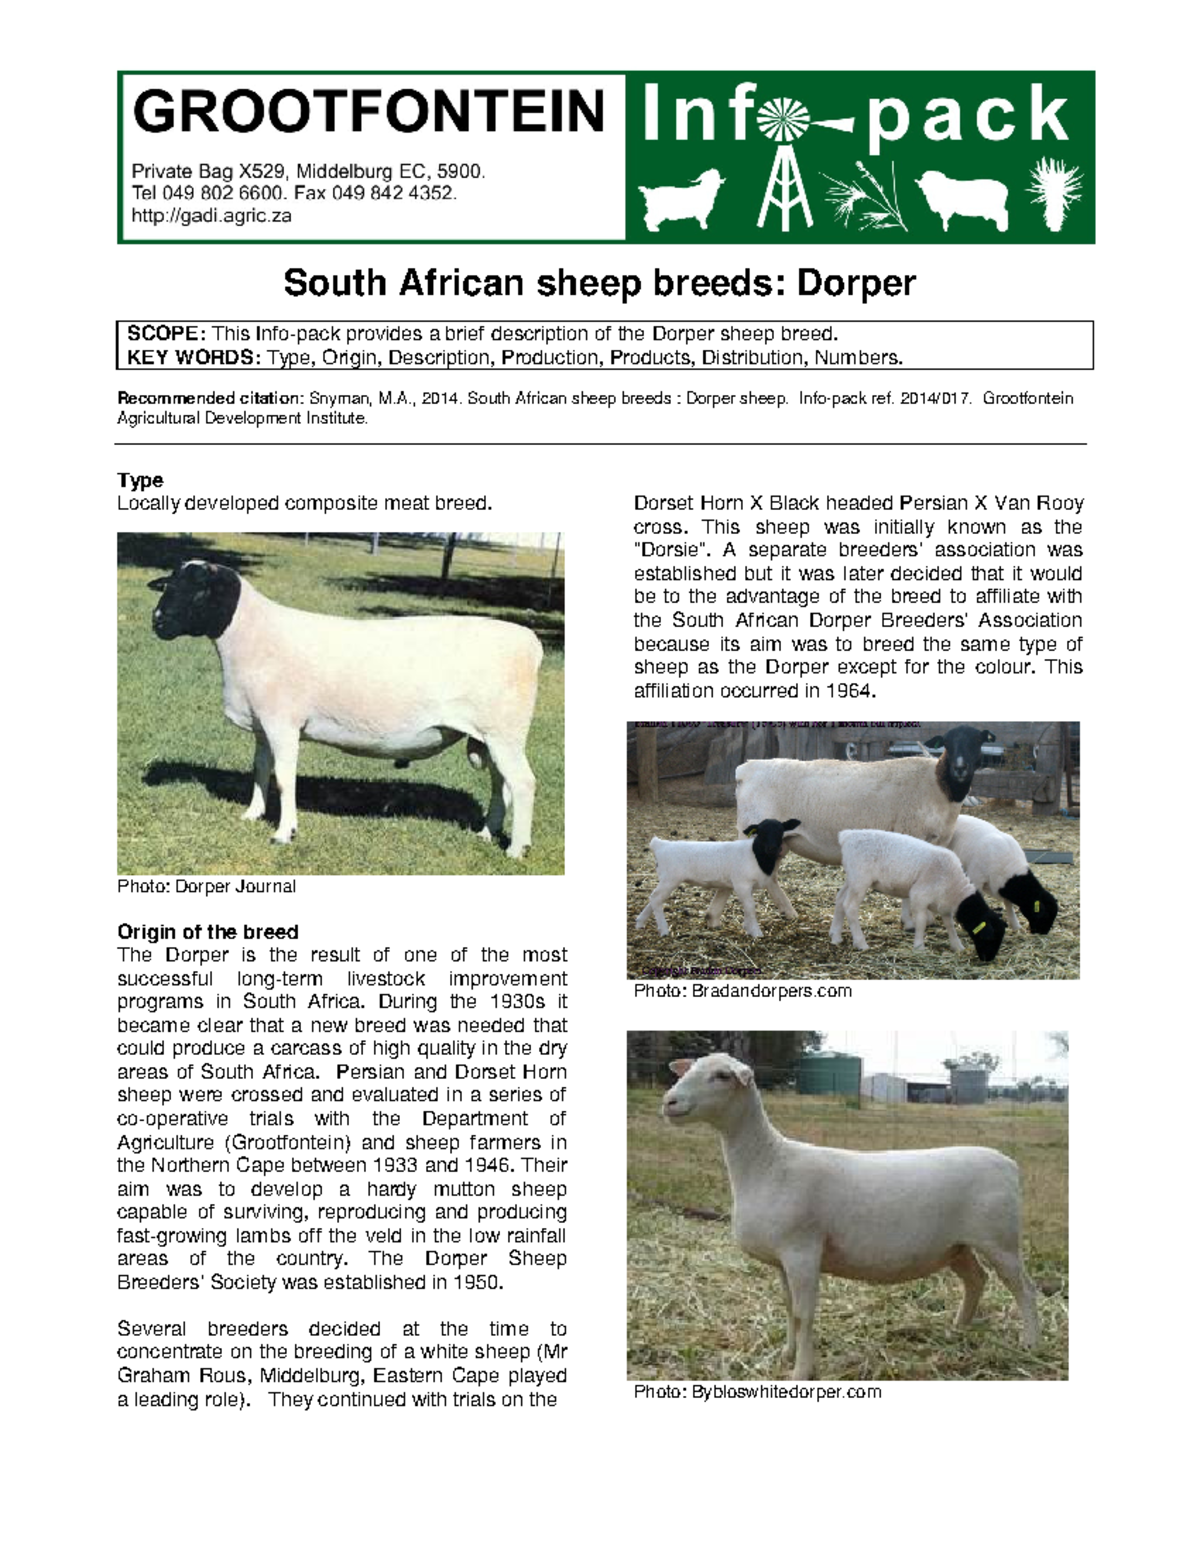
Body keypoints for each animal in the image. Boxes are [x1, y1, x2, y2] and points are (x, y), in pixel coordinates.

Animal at [148, 560, 542, 856]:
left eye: (200, 589)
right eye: (169, 585)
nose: (157, 621)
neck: (250, 636)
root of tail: (532, 644)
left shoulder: (284, 724)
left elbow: (284, 779)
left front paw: (283, 832)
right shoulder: (263, 724)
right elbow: (260, 770)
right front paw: (253, 814)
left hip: (504, 732)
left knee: (523, 783)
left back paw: (516, 848)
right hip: (491, 736)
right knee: (500, 783)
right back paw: (486, 834)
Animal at [635, 819, 801, 938]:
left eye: (781, 831)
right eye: (760, 832)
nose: (772, 848)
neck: (756, 855)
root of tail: (660, 845)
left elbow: (748, 907)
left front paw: (748, 928)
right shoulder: (742, 883)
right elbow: (750, 907)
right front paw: (756, 932)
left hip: (667, 880)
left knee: (654, 899)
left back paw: (640, 923)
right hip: (670, 878)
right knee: (656, 898)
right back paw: (663, 930)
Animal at [661, 1052, 1040, 1380]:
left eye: (722, 1075)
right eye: (688, 1069)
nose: (669, 1102)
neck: (767, 1162)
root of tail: (1009, 1164)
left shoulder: (802, 1251)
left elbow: (804, 1314)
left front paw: (801, 1371)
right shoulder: (782, 1259)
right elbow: (788, 1308)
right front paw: (786, 1354)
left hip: (1000, 1240)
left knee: (1025, 1289)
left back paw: (1030, 1342)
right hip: (956, 1246)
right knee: (976, 1280)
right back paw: (958, 1329)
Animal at [832, 828, 1007, 960]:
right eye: (989, 937)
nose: (988, 959)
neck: (955, 887)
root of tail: (848, 836)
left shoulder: (944, 904)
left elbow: (949, 924)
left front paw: (957, 946)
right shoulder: (919, 896)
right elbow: (921, 922)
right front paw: (919, 946)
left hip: (852, 878)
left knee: (840, 899)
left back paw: (835, 937)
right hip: (861, 878)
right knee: (850, 906)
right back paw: (860, 943)